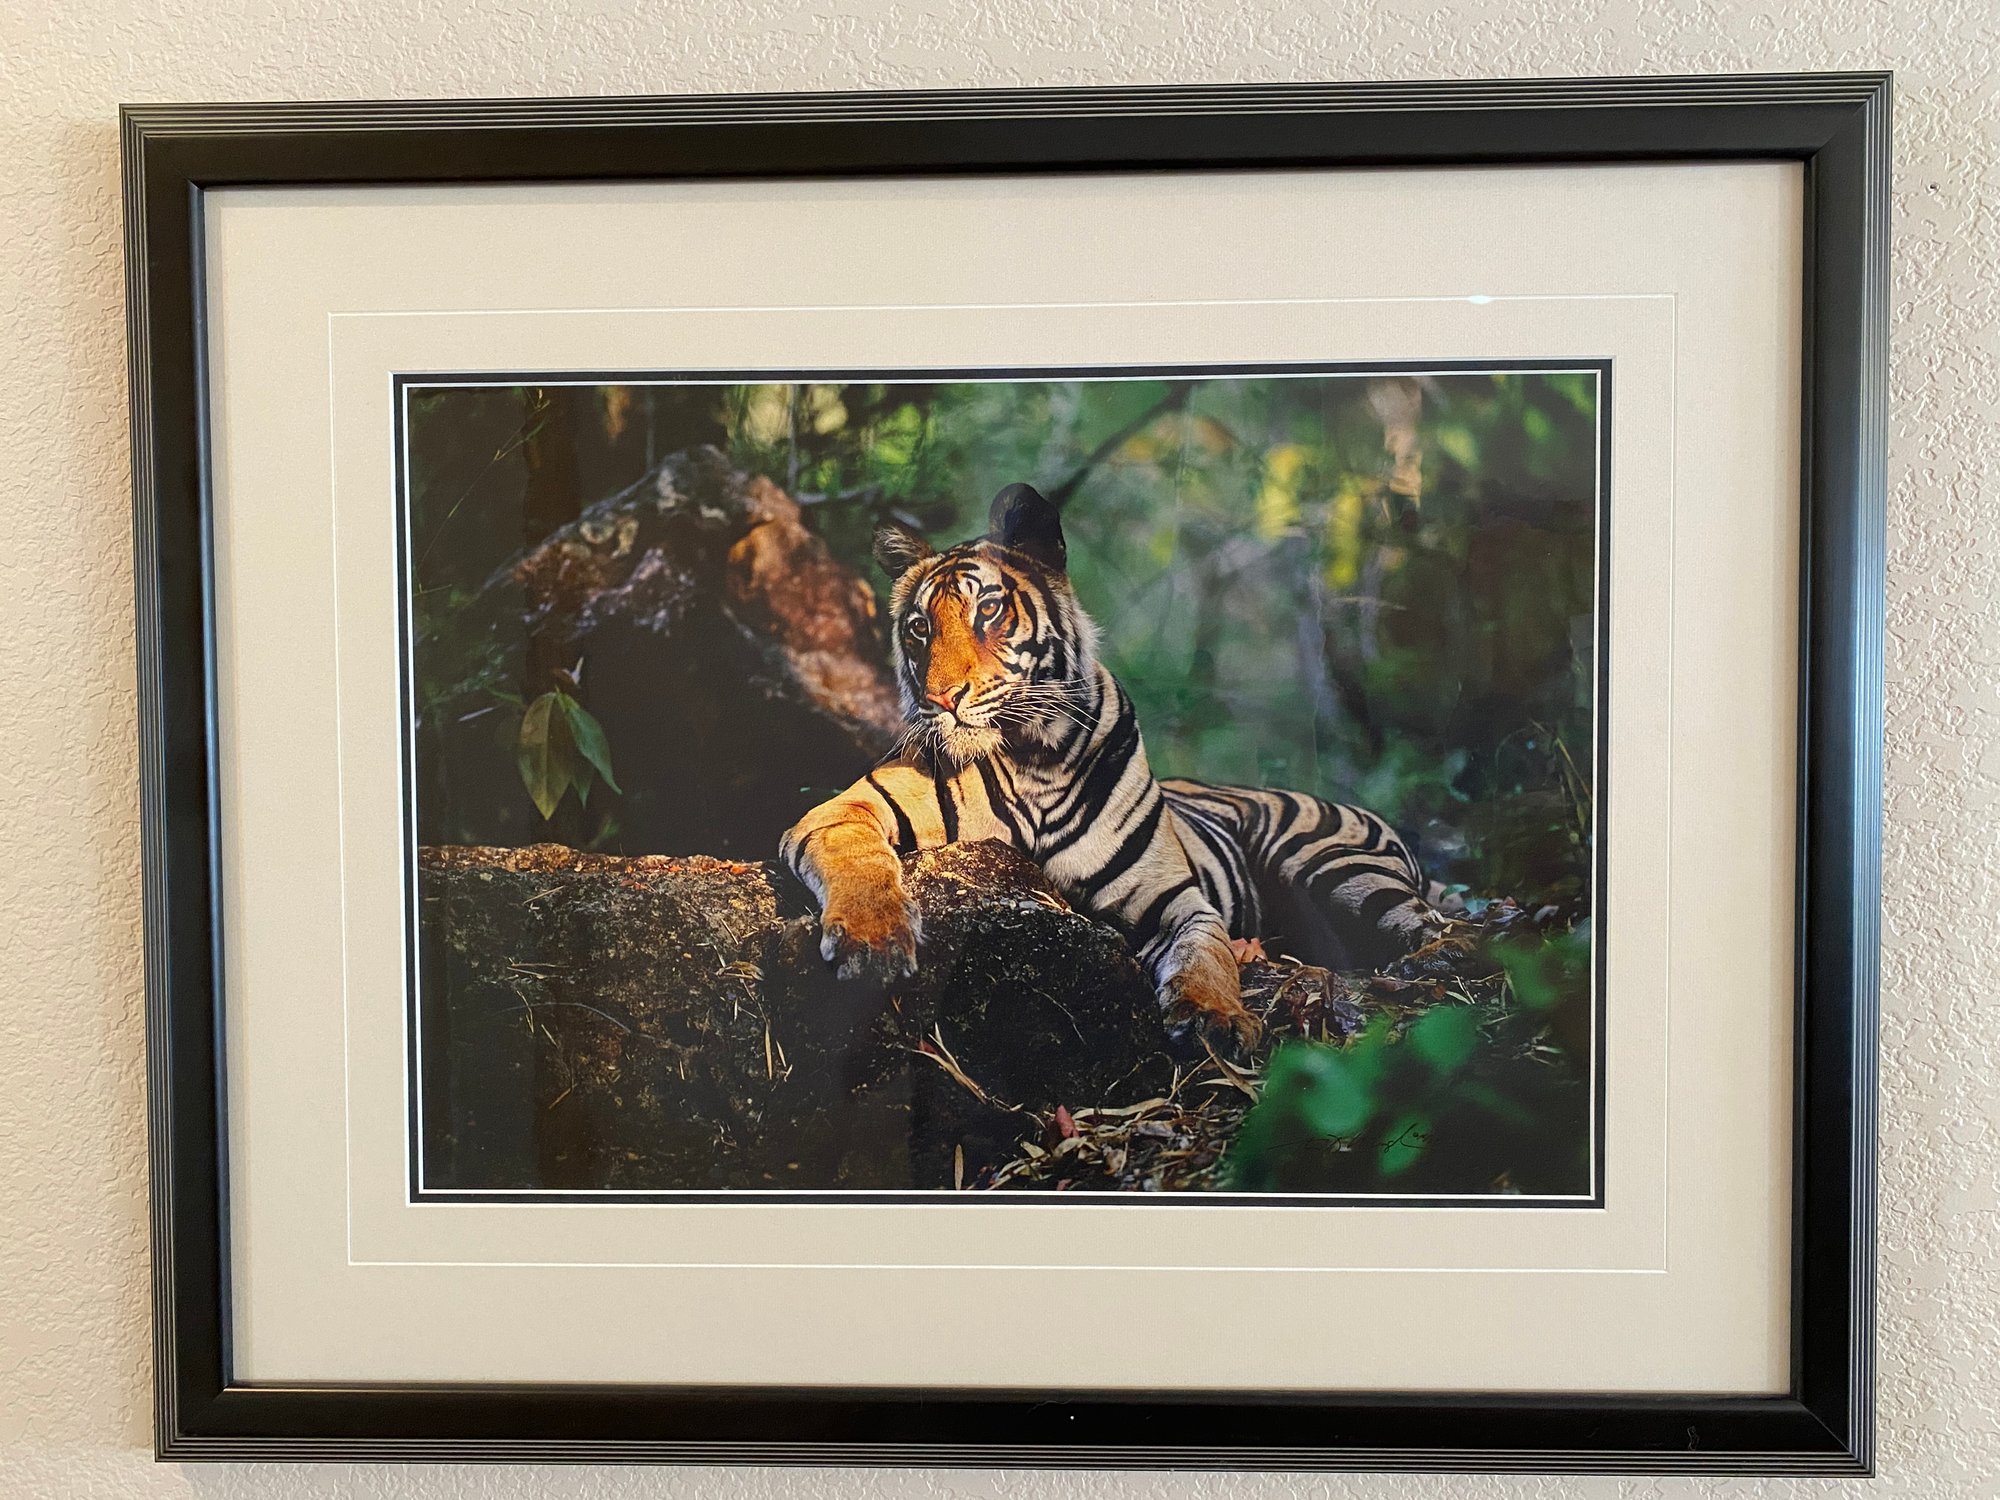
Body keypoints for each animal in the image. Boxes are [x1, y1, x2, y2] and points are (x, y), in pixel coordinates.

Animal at [779, 482, 1441, 1047]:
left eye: (987, 610)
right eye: (919, 628)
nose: (940, 699)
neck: (1035, 756)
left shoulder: (1171, 898)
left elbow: (1207, 952)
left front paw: (1216, 1016)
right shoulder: (845, 809)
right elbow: (858, 856)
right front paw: (874, 939)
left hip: (1333, 865)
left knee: (1430, 925)